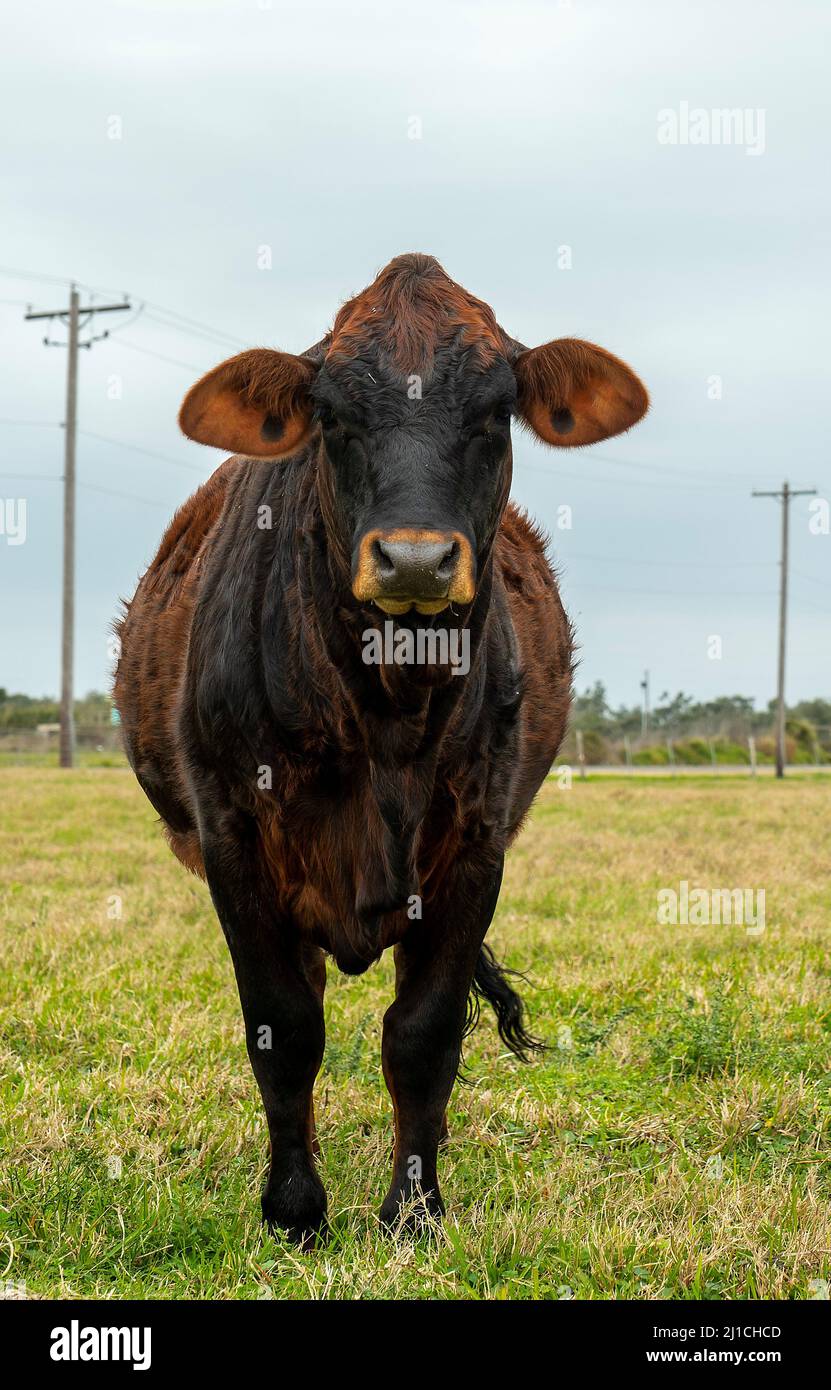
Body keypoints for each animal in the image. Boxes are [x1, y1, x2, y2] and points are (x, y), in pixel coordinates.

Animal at [114, 253, 648, 1243]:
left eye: (494, 413)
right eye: (332, 416)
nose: (414, 561)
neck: (386, 709)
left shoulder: (473, 848)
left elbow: (423, 1035)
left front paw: (415, 1210)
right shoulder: (233, 841)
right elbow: (284, 1029)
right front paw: (294, 1211)